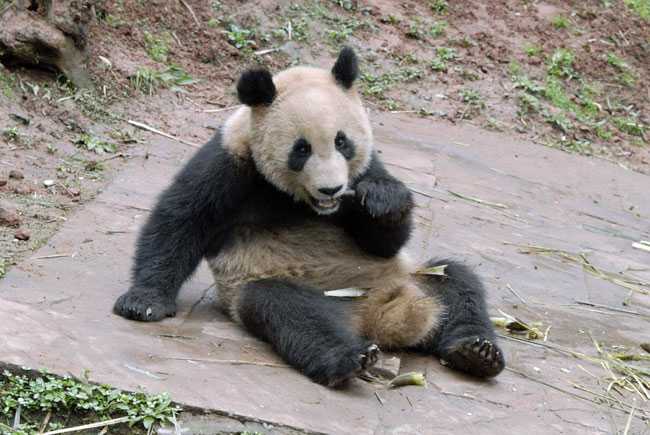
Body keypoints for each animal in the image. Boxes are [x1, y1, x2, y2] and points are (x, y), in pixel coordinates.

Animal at [113, 47, 505, 387]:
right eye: (301, 149)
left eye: (342, 142)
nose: (331, 189)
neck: (303, 202)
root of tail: (379, 321)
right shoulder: (232, 162)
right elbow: (183, 220)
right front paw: (144, 302)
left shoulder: (363, 170)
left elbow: (383, 241)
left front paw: (383, 200)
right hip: (287, 289)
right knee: (290, 311)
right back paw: (349, 357)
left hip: (408, 278)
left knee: (457, 284)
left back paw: (475, 351)